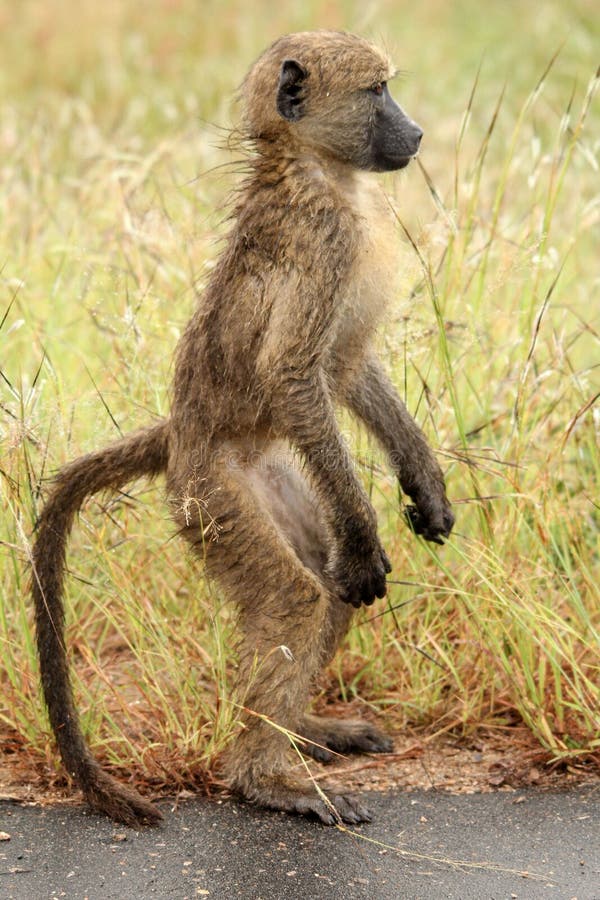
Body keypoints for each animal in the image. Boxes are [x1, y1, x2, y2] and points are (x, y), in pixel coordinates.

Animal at [31, 31, 454, 828]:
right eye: (378, 90)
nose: (416, 134)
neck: (315, 172)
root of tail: (182, 434)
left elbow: (347, 367)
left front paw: (427, 484)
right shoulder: (325, 247)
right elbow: (295, 376)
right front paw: (368, 534)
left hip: (268, 478)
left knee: (321, 576)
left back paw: (303, 732)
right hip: (214, 497)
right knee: (298, 596)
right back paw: (268, 779)